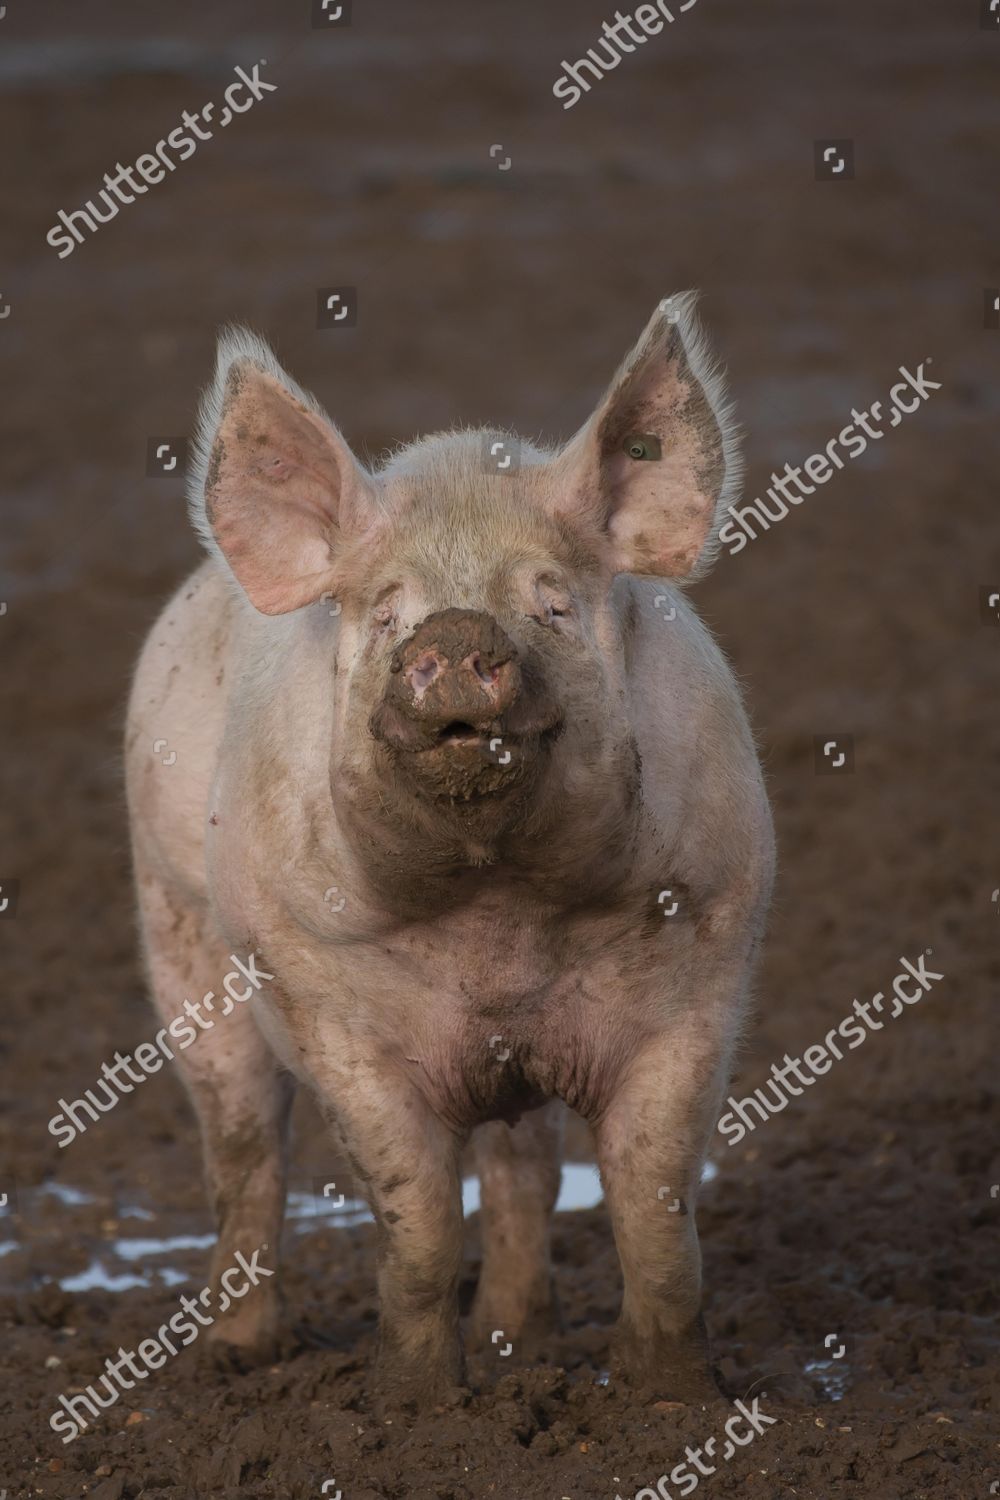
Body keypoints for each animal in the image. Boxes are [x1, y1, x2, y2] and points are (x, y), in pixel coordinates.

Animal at [124, 292, 774, 1408]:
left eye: (551, 601)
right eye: (388, 612)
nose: (459, 632)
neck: (496, 914)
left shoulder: (705, 965)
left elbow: (652, 1201)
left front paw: (675, 1400)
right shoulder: (330, 1008)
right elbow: (416, 1217)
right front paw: (417, 1408)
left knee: (523, 1168)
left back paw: (526, 1343)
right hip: (178, 934)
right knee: (244, 1150)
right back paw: (239, 1357)